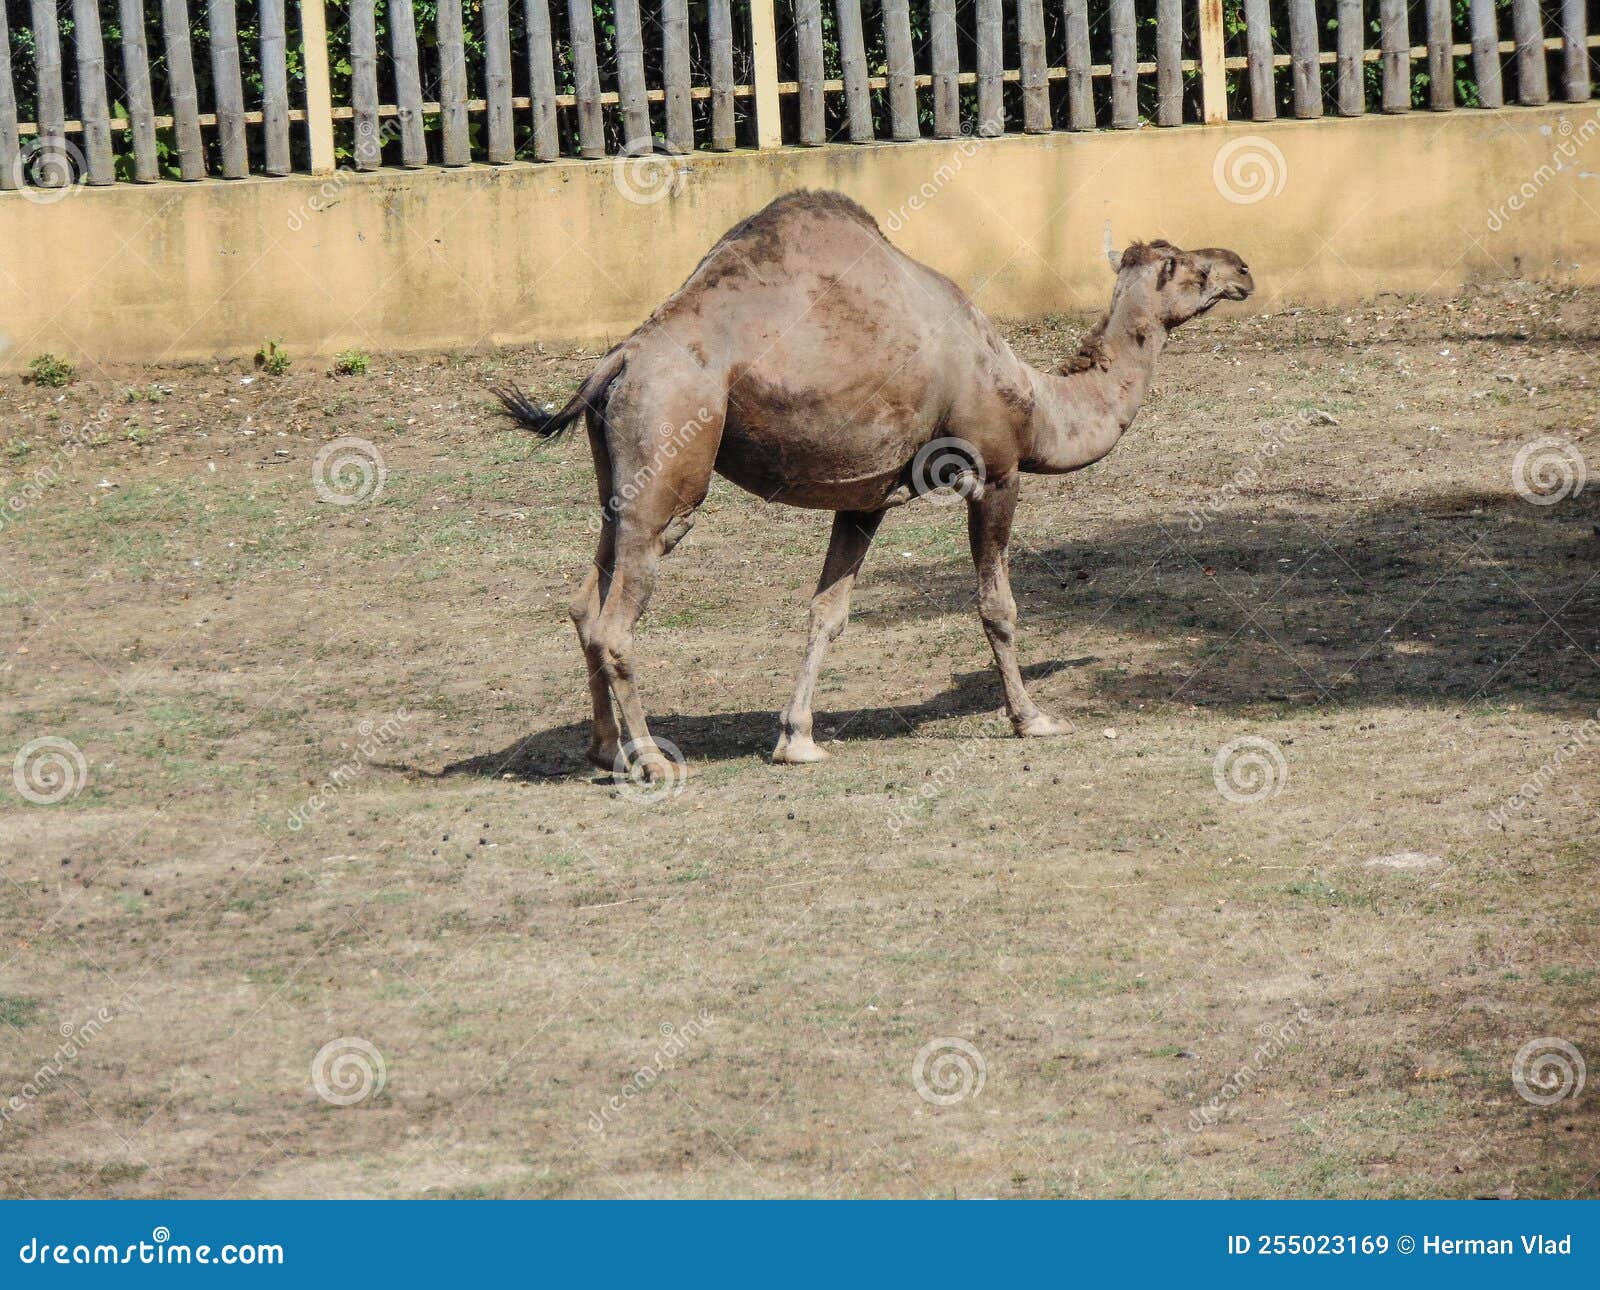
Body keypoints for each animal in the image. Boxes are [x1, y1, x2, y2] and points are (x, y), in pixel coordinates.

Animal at [494, 190, 1253, 781]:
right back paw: (651, 758)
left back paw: (605, 751)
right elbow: (997, 606)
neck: (1036, 403)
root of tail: (620, 357)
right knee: (617, 617)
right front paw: (1032, 717)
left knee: (585, 599)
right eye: (1189, 266)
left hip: (621, 477)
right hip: (672, 451)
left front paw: (797, 739)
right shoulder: (995, 469)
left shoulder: (863, 499)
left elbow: (828, 611)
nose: (1243, 267)